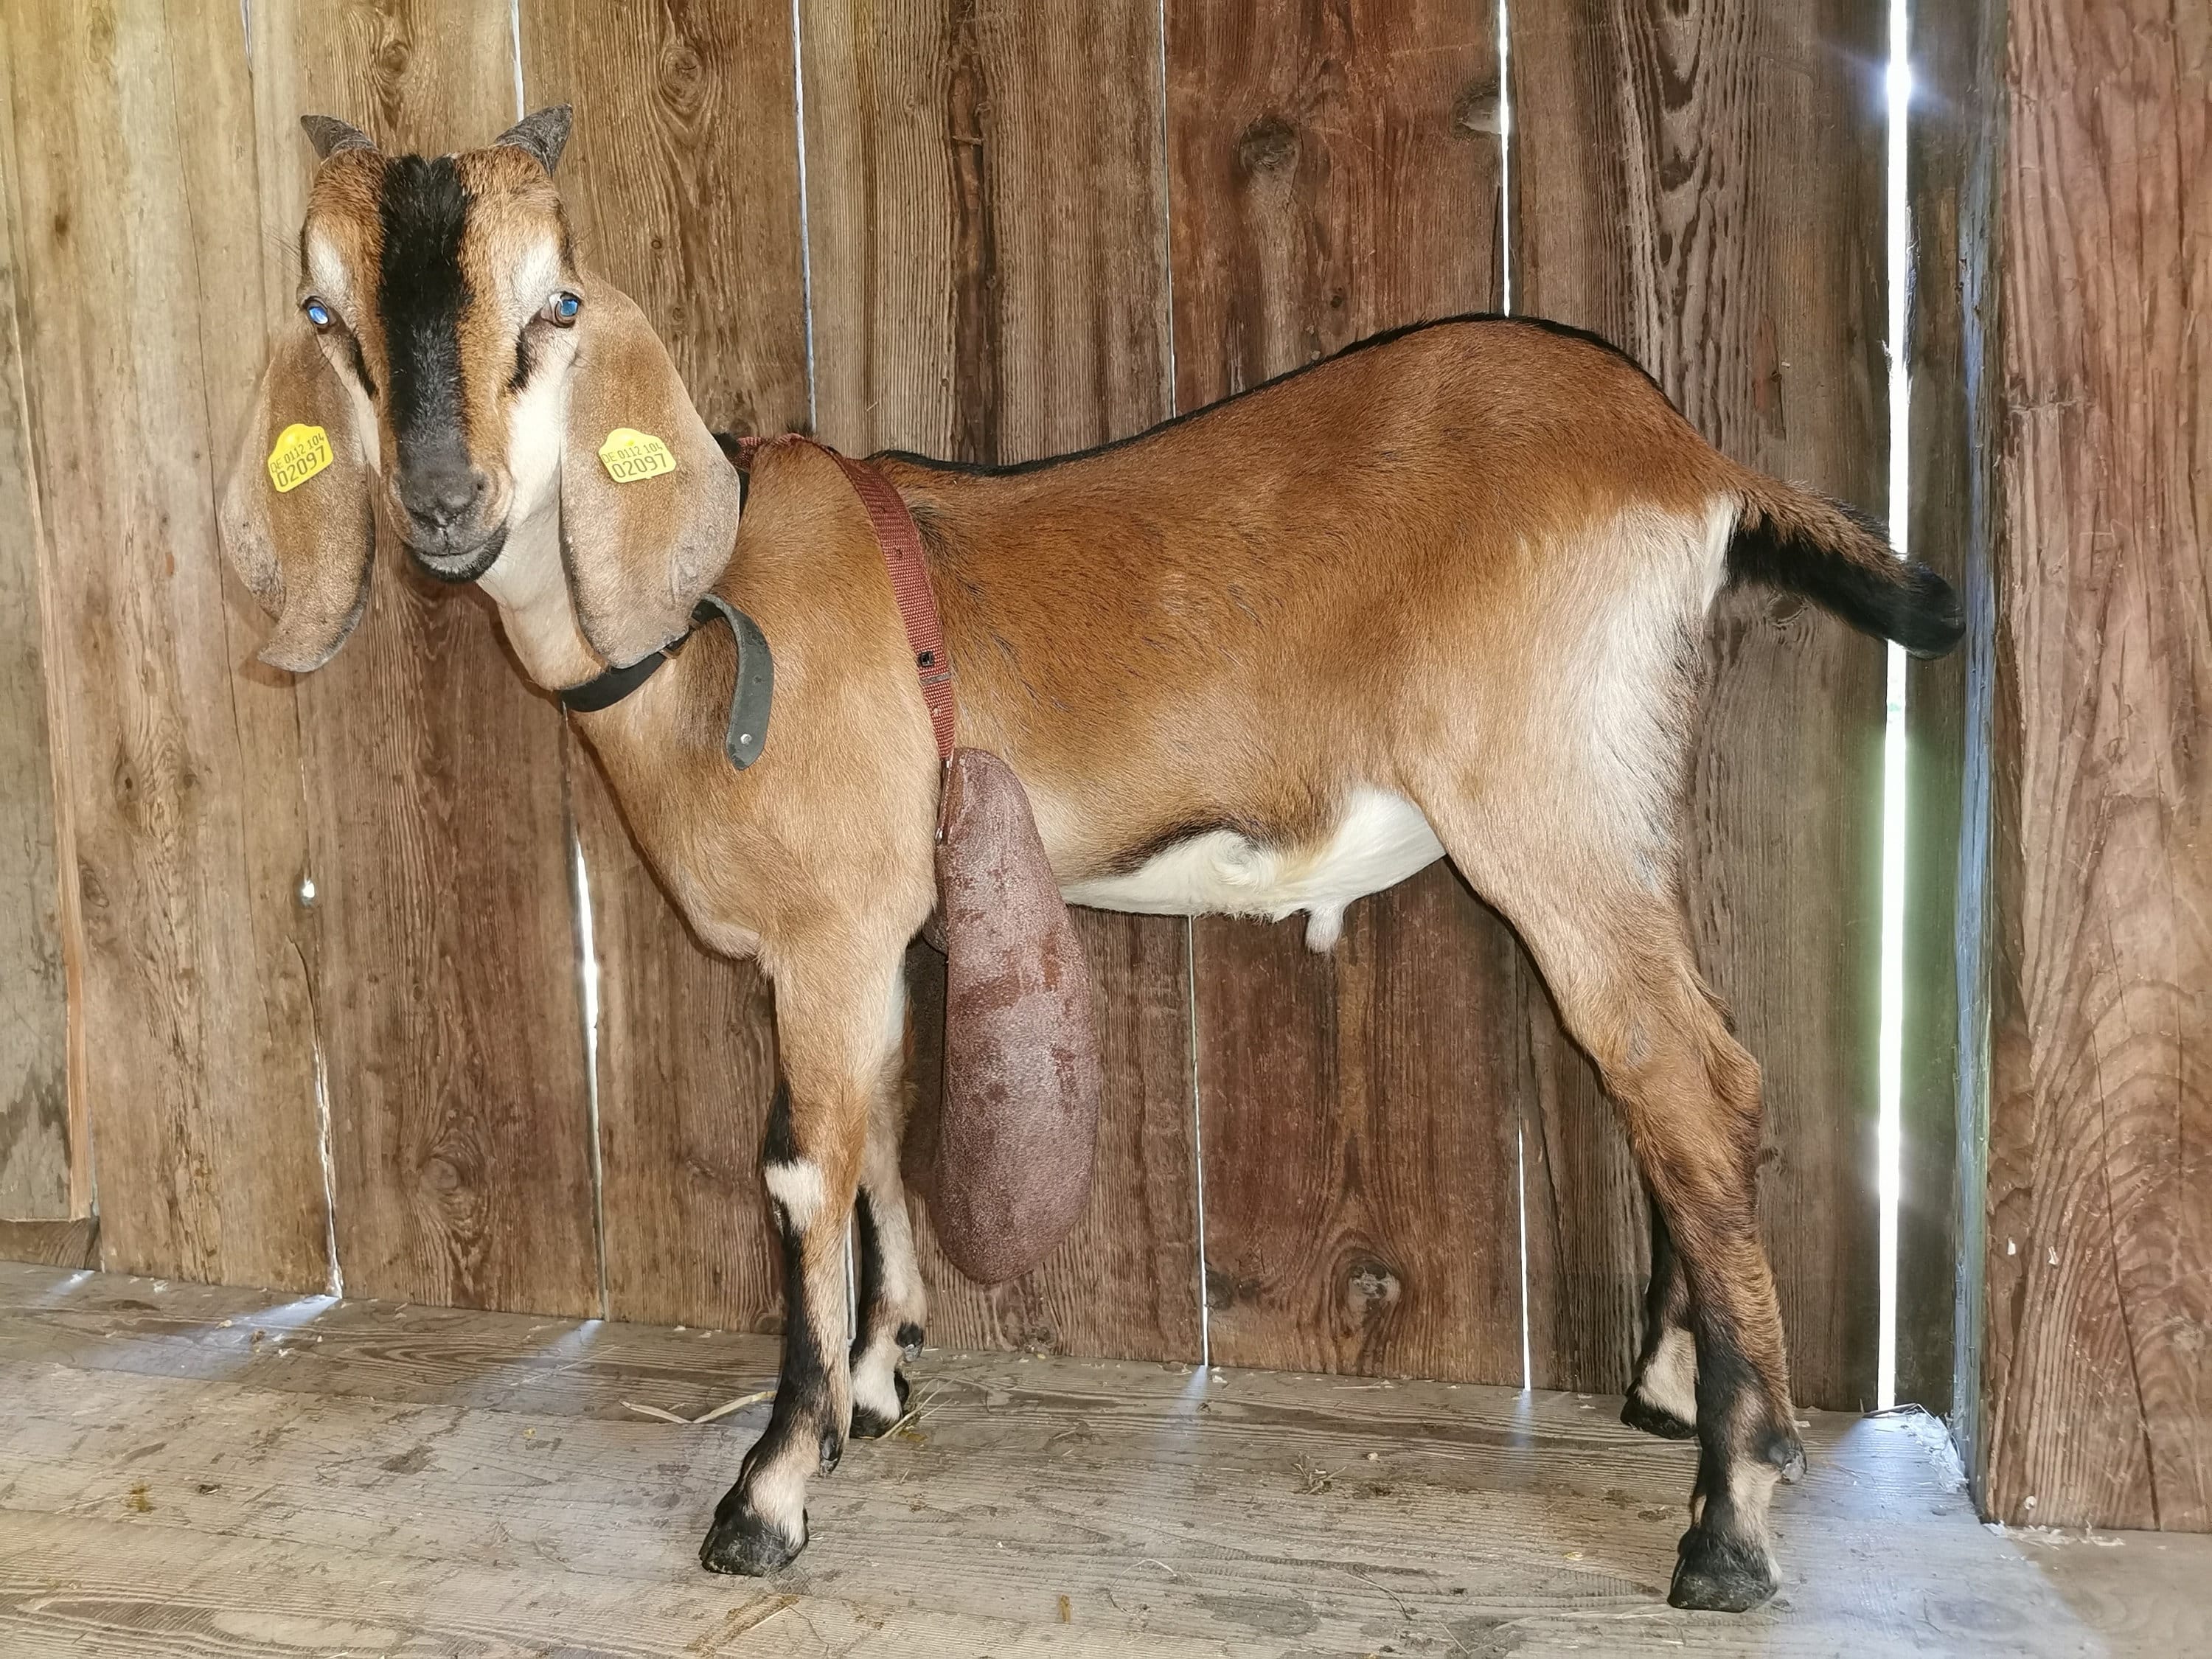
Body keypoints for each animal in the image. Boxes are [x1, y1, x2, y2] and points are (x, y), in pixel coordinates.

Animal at [219, 108, 1963, 1613]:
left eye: (558, 305)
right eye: (326, 312)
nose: (447, 506)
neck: (714, 620)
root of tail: (1686, 457)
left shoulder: (827, 938)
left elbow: (802, 1167)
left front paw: (772, 1487)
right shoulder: (884, 936)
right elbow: (883, 1132)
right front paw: (881, 1376)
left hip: (1547, 806)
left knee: (1686, 1078)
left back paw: (1732, 1524)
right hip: (1615, 808)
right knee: (1665, 1078)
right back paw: (1671, 1393)